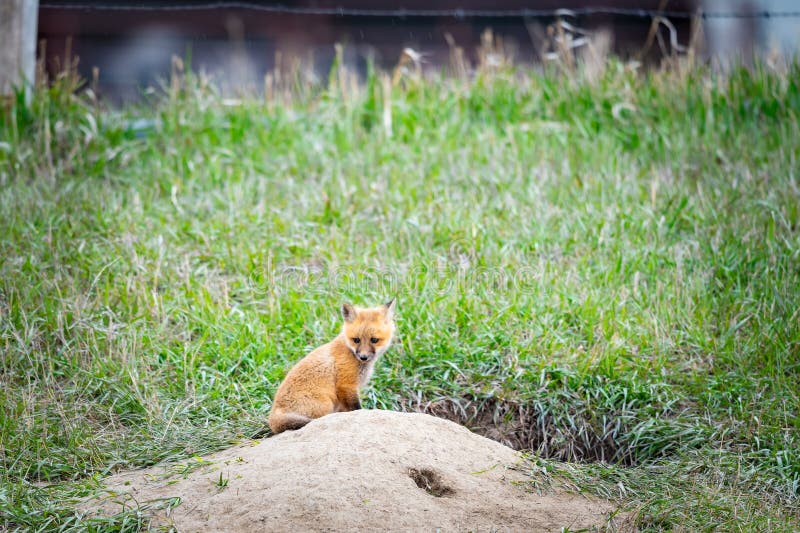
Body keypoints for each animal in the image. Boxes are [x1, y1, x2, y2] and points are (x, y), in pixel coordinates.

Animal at [267, 299, 397, 435]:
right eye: (356, 340)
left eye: (374, 340)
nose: (363, 357)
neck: (349, 350)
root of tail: (272, 416)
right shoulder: (346, 385)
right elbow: (356, 408)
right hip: (326, 404)